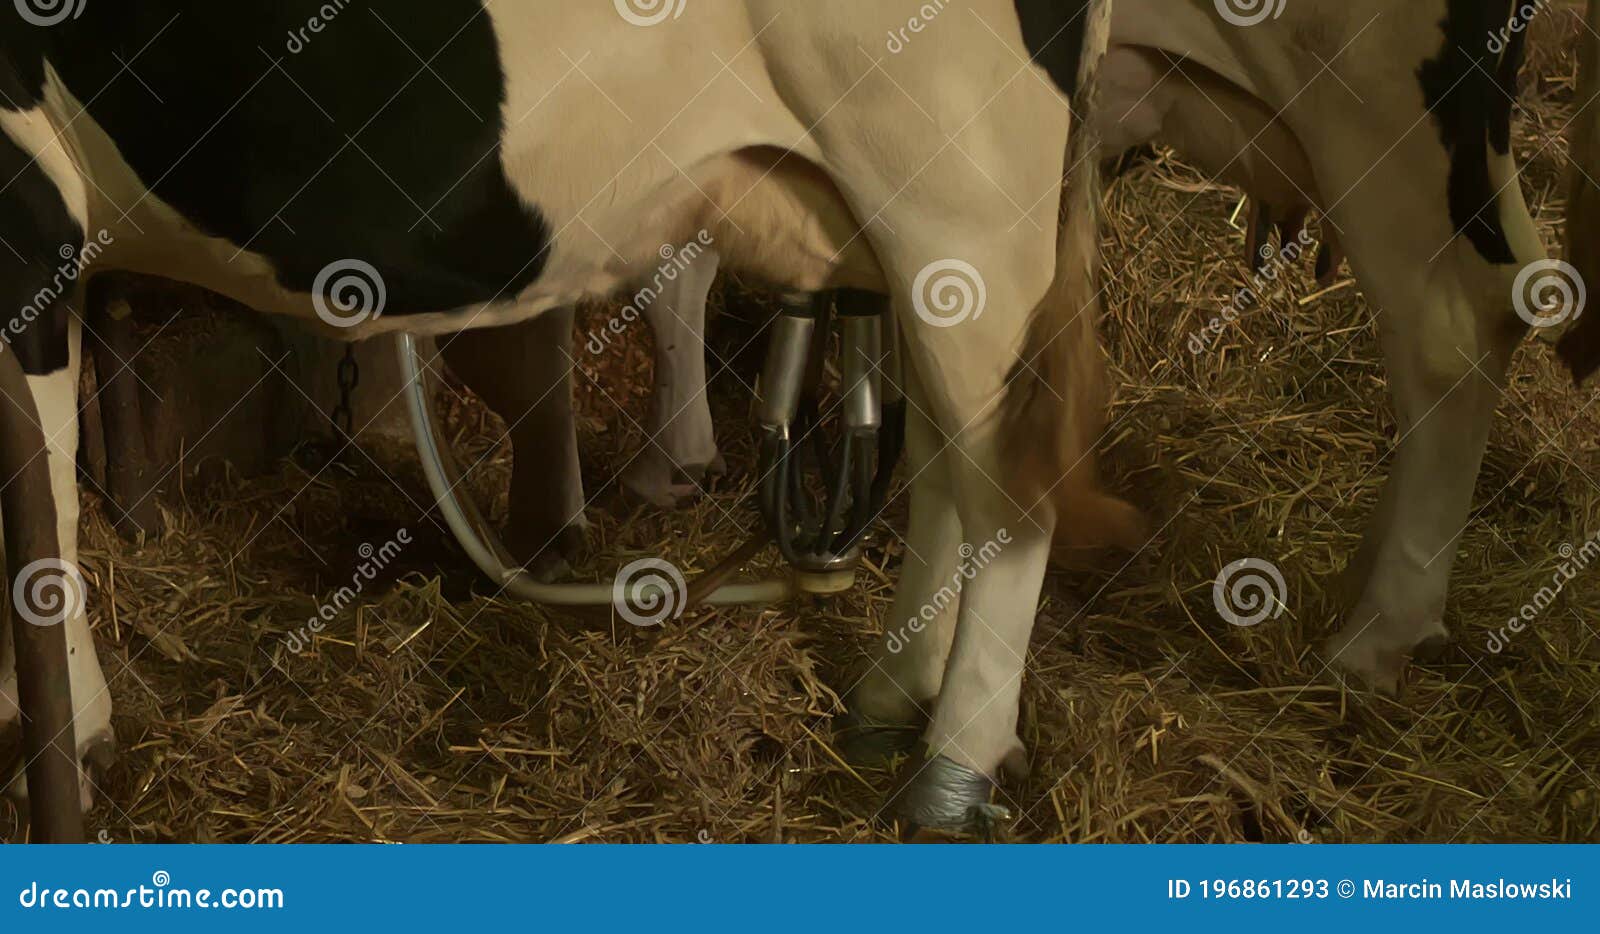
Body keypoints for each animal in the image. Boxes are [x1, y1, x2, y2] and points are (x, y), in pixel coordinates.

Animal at [0, 0, 1125, 838]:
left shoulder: (29, 215)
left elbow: (39, 519)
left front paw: (60, 747)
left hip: (960, 200)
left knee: (1008, 489)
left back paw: (951, 770)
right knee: (945, 463)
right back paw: (891, 697)